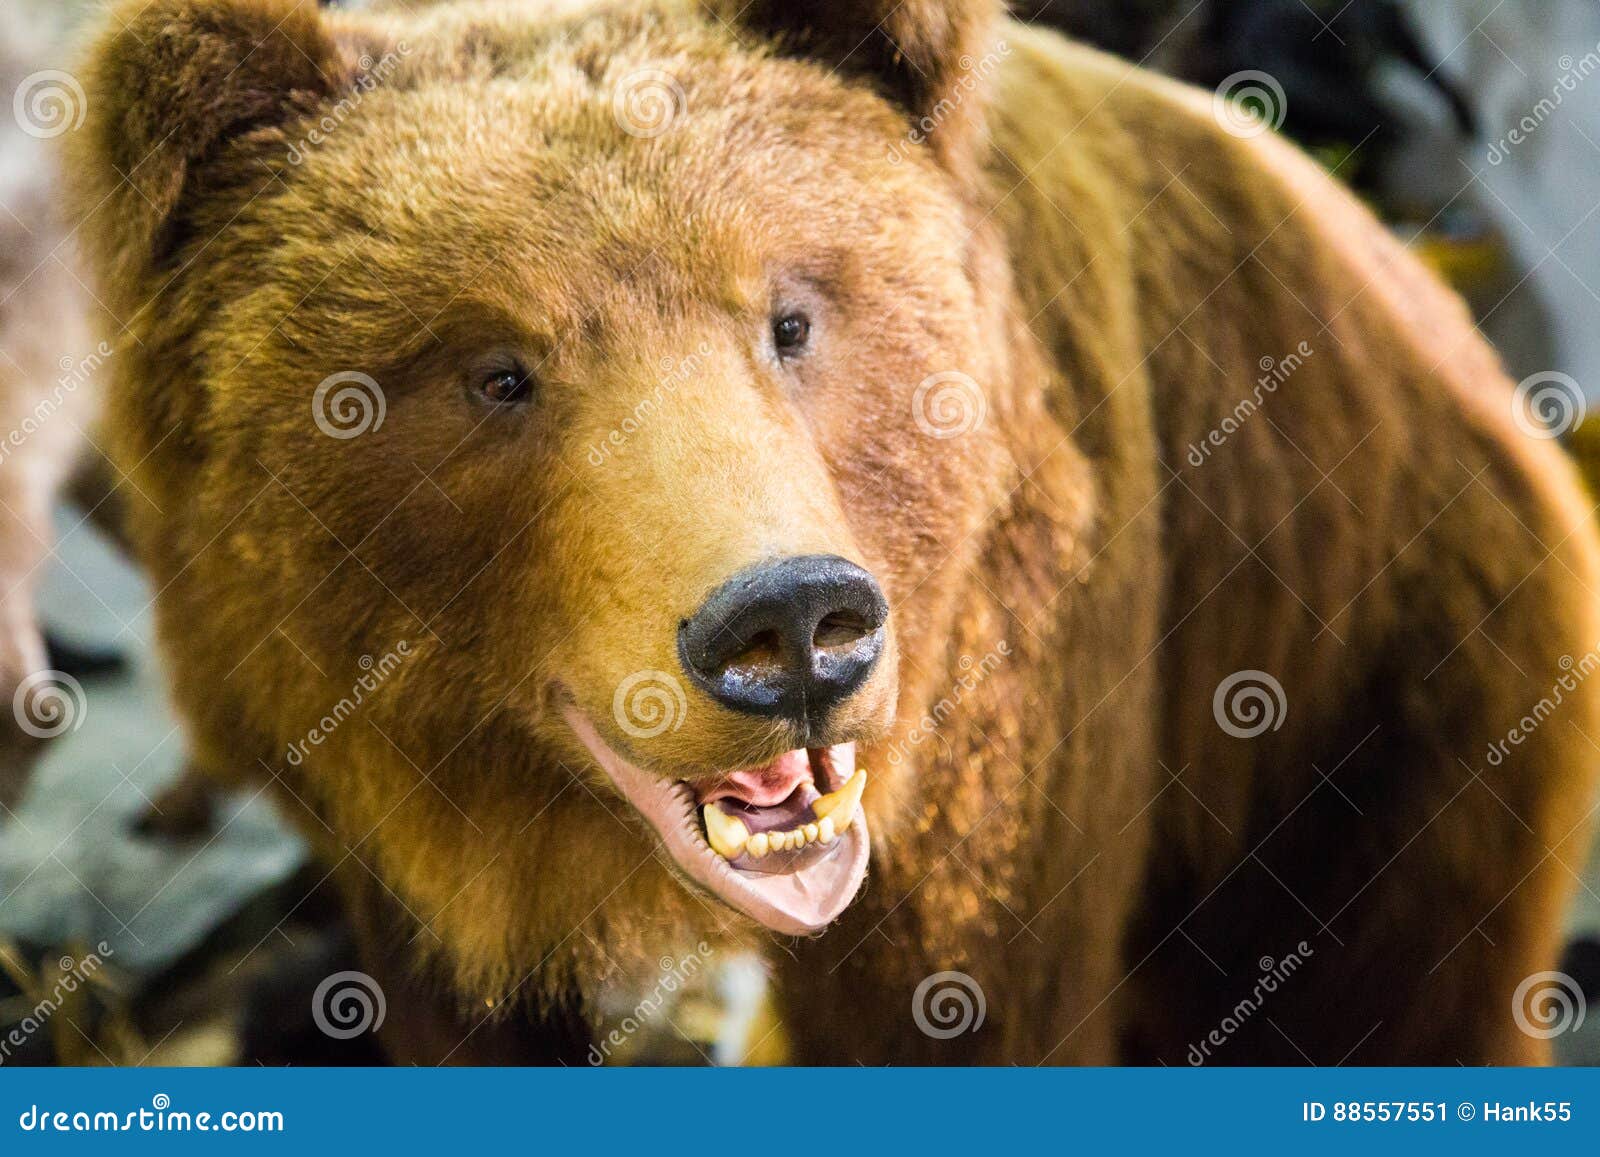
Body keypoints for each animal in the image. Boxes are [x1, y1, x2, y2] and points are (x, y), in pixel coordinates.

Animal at [64, 0, 1600, 1065]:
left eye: (791, 316)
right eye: (498, 371)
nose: (789, 622)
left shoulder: (1017, 718)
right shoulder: (383, 809)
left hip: (1376, 681)